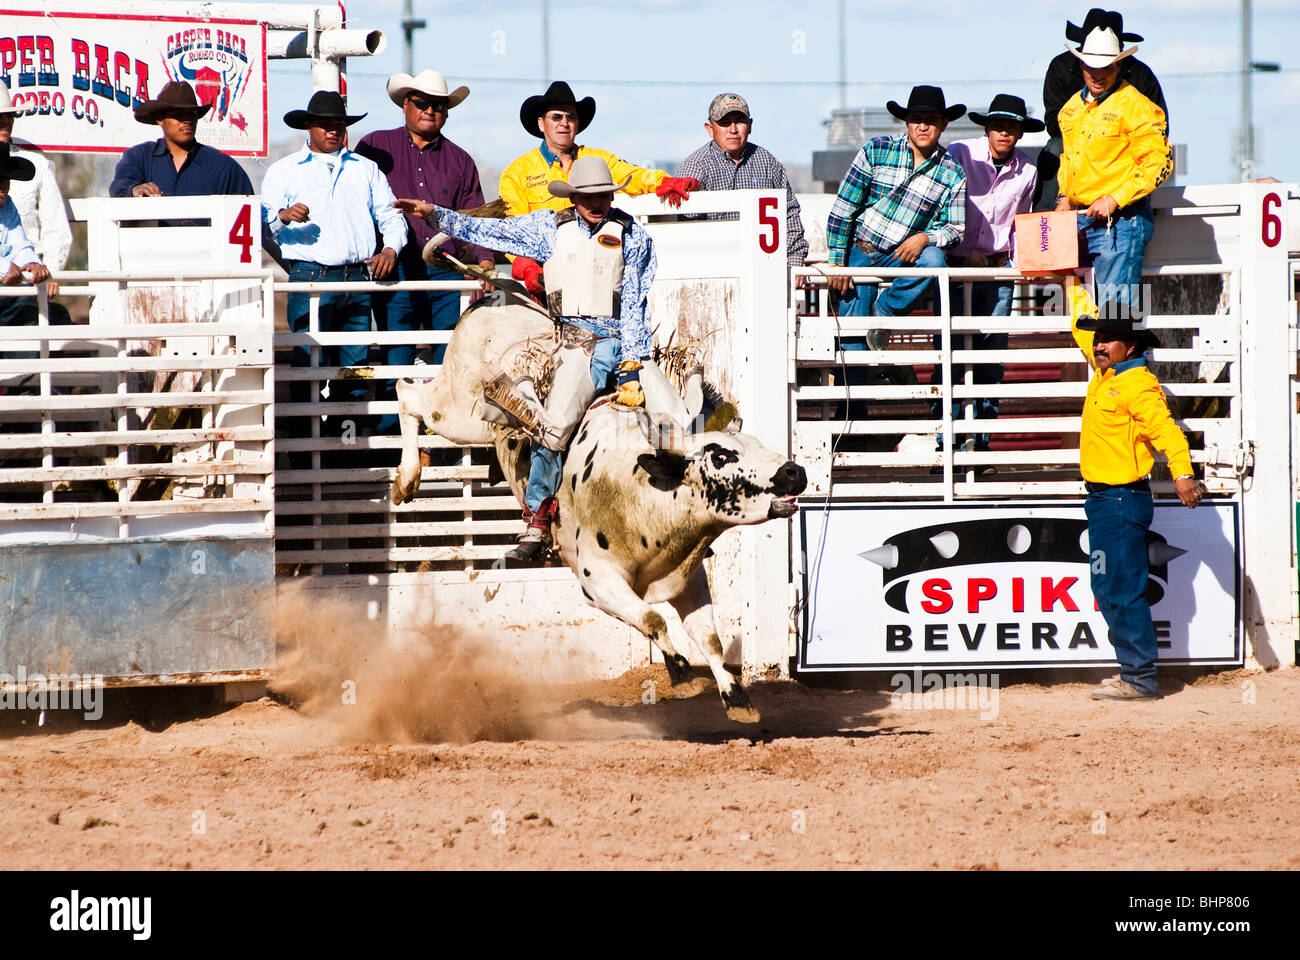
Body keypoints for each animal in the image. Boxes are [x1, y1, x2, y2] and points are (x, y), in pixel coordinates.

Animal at [390, 300, 806, 723]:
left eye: (755, 442)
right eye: (721, 456)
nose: (793, 472)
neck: (643, 491)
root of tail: (498, 298)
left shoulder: (688, 578)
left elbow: (709, 639)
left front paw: (737, 700)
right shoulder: (599, 582)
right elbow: (653, 619)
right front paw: (681, 675)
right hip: (460, 412)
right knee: (408, 395)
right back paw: (406, 480)